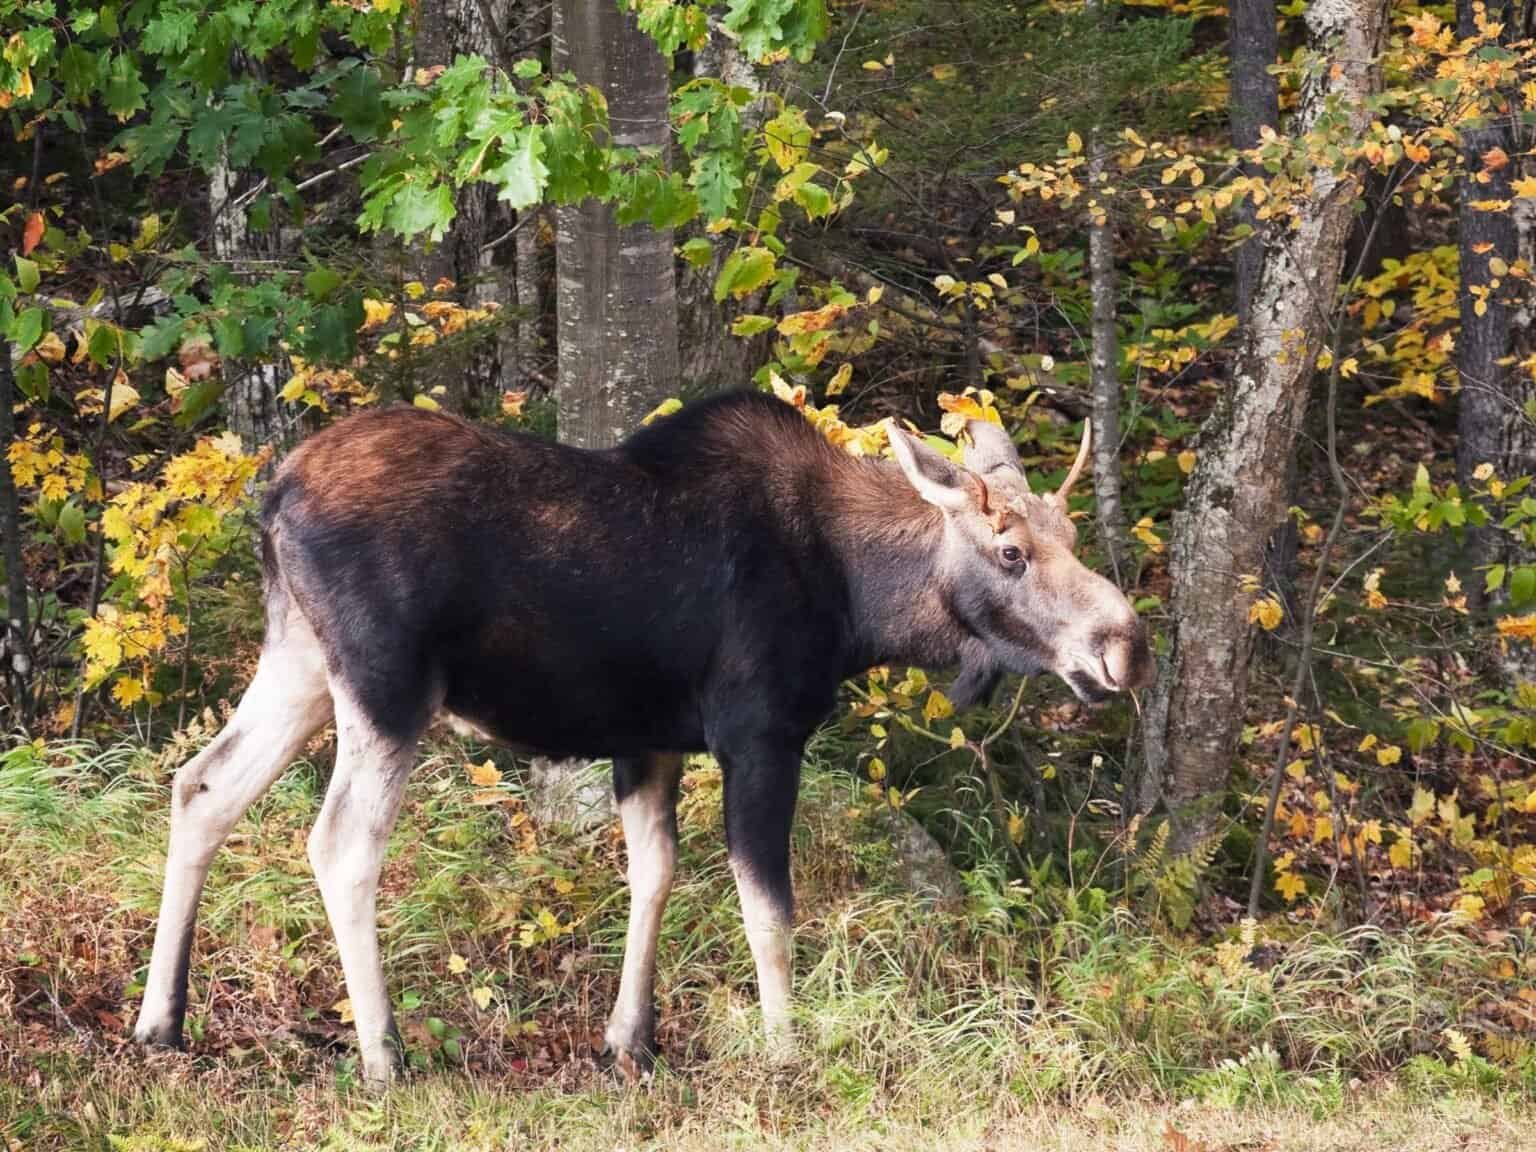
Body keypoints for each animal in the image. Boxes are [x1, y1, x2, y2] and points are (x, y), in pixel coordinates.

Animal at [130, 388, 1153, 1087]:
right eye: (1012, 552)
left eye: (1073, 536)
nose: (1126, 646)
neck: (861, 603)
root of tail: (273, 499)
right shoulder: (759, 733)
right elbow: (768, 908)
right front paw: (787, 1050)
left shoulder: (648, 740)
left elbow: (652, 876)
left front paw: (631, 1039)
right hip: (385, 685)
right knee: (341, 841)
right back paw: (383, 1053)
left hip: (300, 662)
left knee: (201, 786)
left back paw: (160, 1022)